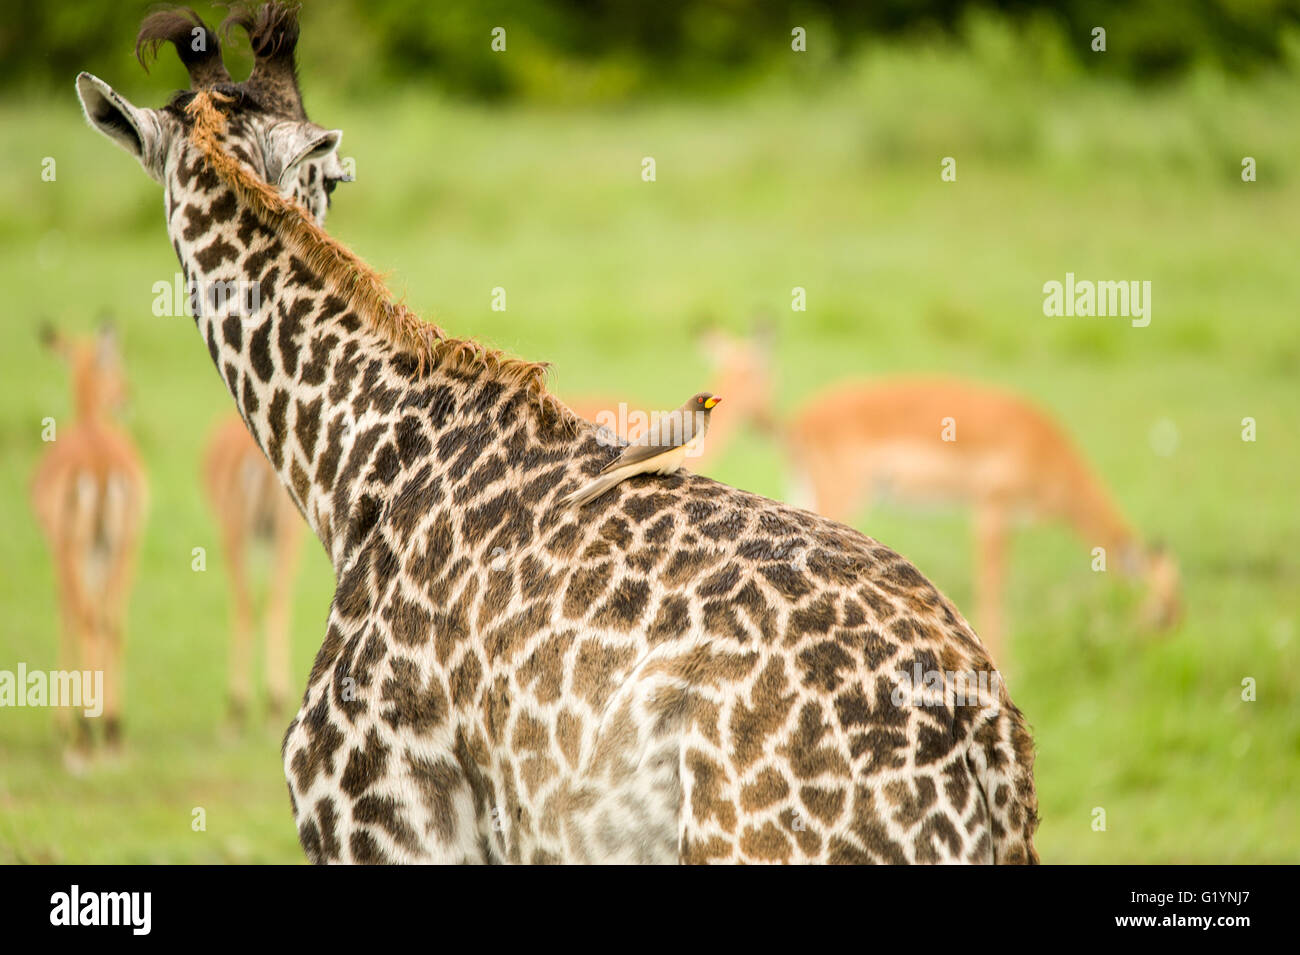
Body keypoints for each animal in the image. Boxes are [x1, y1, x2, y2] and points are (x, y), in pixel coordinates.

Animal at [31, 321, 147, 758]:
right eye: (112, 365)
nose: (126, 395)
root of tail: (99, 464)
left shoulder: (59, 550)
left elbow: (66, 614)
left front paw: (64, 725)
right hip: (123, 550)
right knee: (111, 620)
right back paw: (110, 727)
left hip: (77, 550)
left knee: (83, 617)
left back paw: (83, 730)